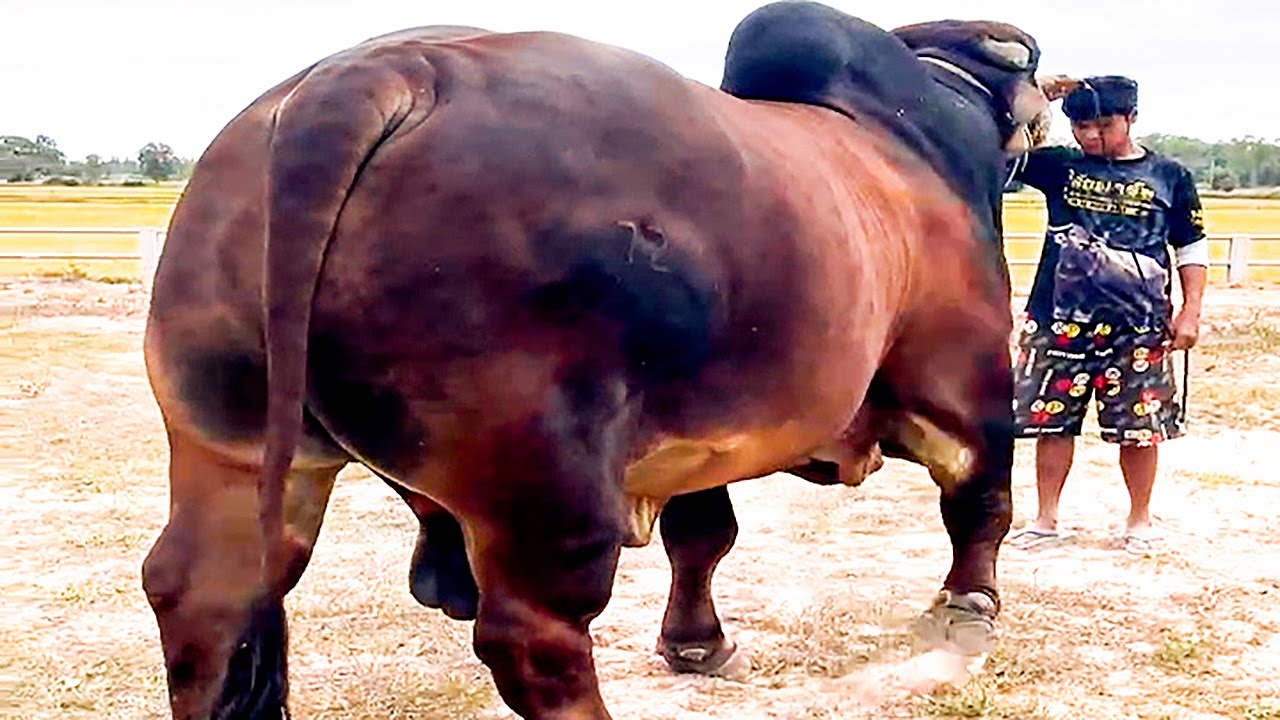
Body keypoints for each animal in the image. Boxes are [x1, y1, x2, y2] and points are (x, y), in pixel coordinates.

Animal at [140, 3, 1045, 718]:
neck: (910, 144)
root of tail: (377, 74)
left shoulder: (696, 434)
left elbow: (701, 535)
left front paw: (696, 643)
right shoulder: (968, 378)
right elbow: (980, 496)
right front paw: (970, 606)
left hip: (231, 443)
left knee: (202, 595)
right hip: (544, 481)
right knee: (534, 640)